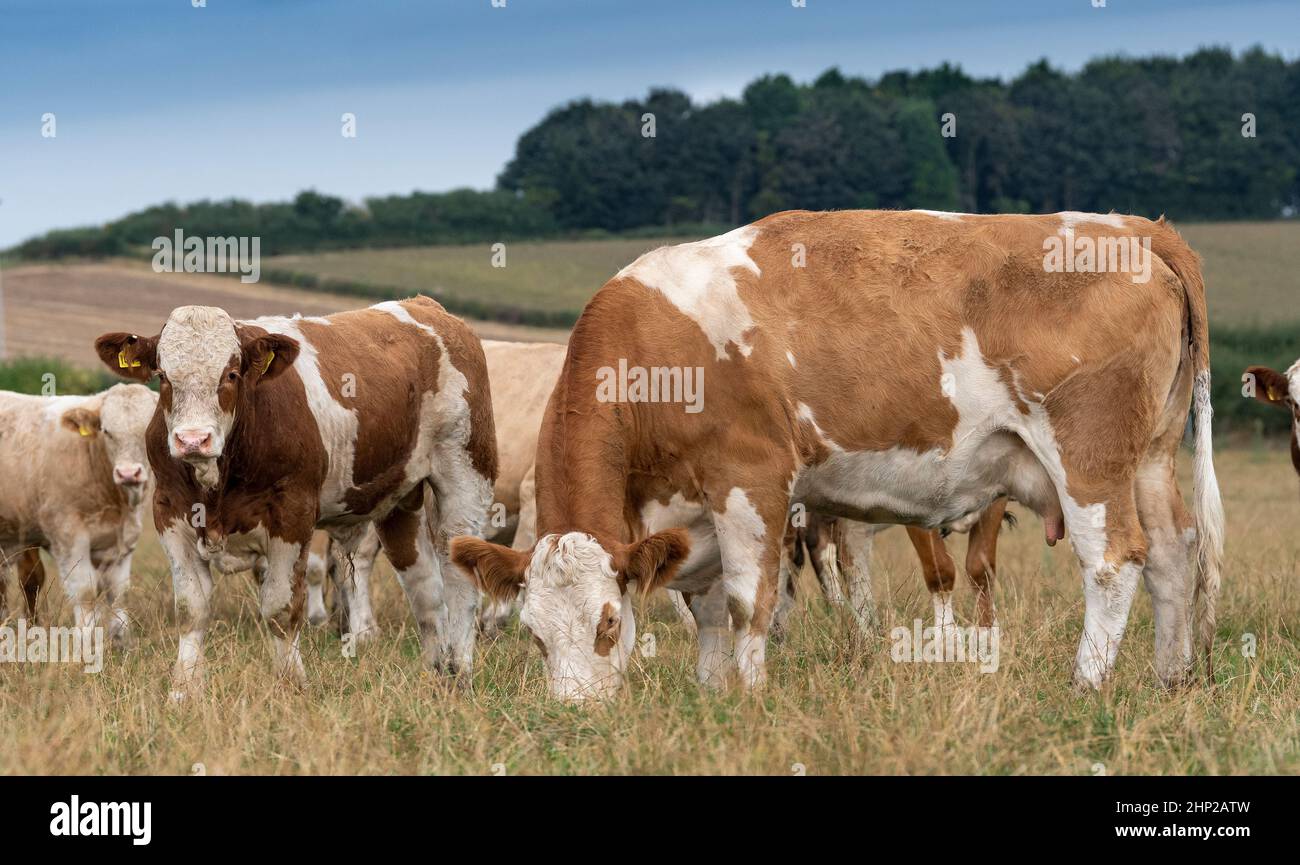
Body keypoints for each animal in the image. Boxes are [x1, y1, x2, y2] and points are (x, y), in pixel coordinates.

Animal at [0, 384, 158, 645]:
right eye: (106, 431)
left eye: (147, 430)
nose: (128, 473)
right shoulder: (69, 538)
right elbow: (85, 591)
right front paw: (86, 641)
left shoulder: (124, 542)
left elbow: (118, 592)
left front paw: (121, 642)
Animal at [94, 297, 497, 699]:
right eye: (163, 375)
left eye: (231, 374)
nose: (193, 440)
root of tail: (425, 306)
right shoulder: (170, 511)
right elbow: (190, 608)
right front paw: (184, 690)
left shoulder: (292, 514)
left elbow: (280, 608)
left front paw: (290, 683)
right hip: (400, 502)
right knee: (425, 588)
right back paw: (437, 675)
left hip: (466, 478)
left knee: (459, 581)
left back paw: (461, 673)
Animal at [452, 209, 1223, 701]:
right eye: (534, 635)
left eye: (609, 623)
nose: (574, 711)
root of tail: (1136, 229)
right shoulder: (689, 512)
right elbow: (705, 608)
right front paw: (710, 695)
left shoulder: (751, 480)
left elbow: (748, 601)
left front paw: (749, 696)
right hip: (1149, 455)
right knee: (1172, 551)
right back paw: (1170, 676)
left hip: (1087, 455)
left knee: (1114, 559)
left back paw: (1086, 683)